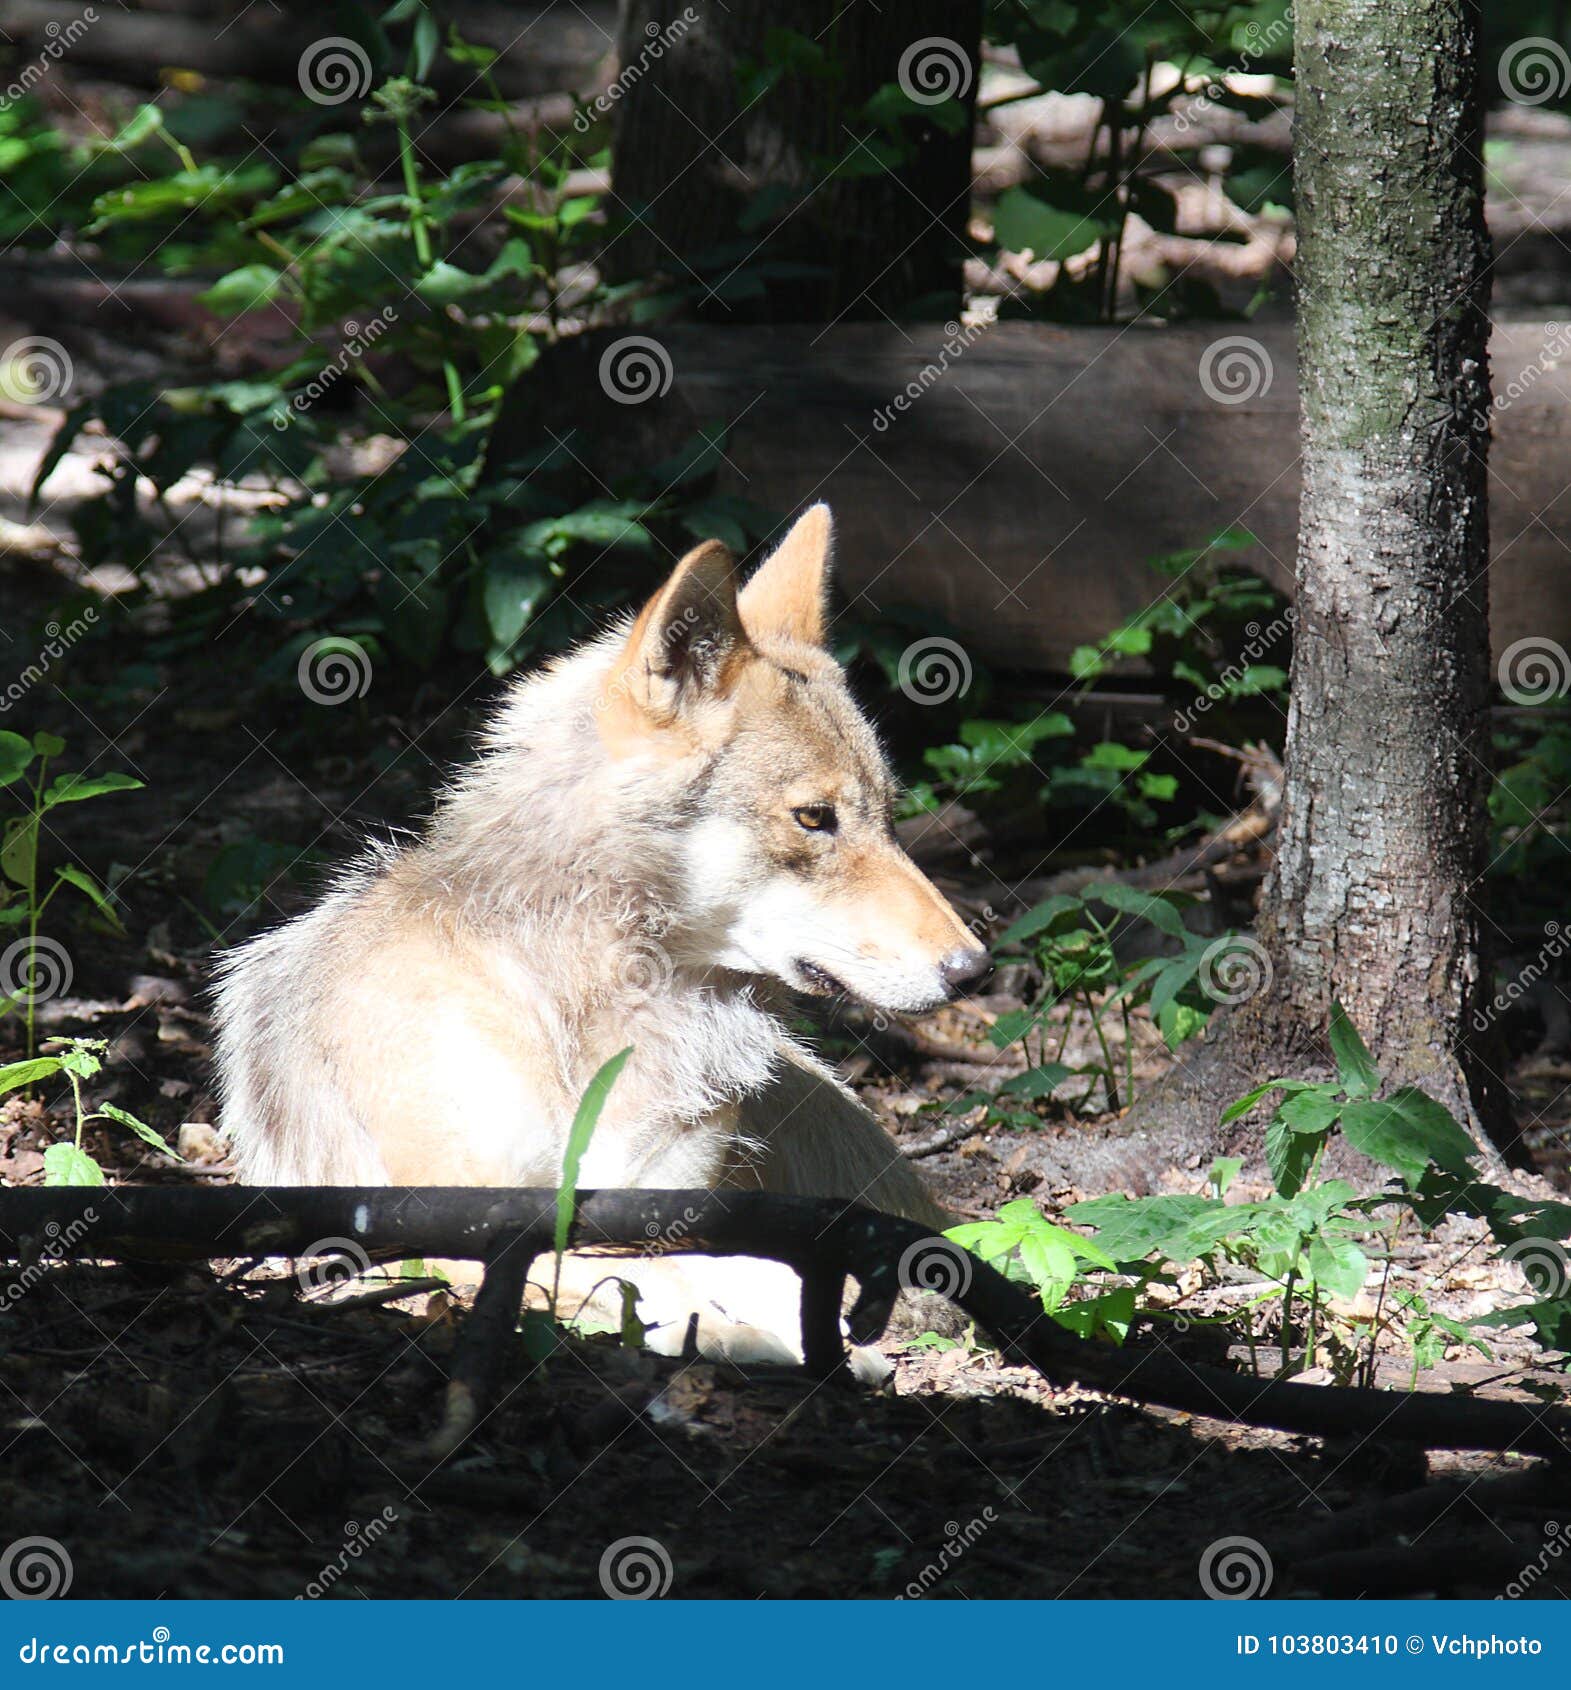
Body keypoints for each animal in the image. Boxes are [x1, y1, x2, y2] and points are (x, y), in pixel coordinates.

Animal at [214, 505, 990, 1363]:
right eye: (814, 819)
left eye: (887, 816)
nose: (973, 969)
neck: (581, 1003)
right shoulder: (447, 1220)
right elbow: (633, 1276)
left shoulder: (669, 1197)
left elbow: (708, 1266)